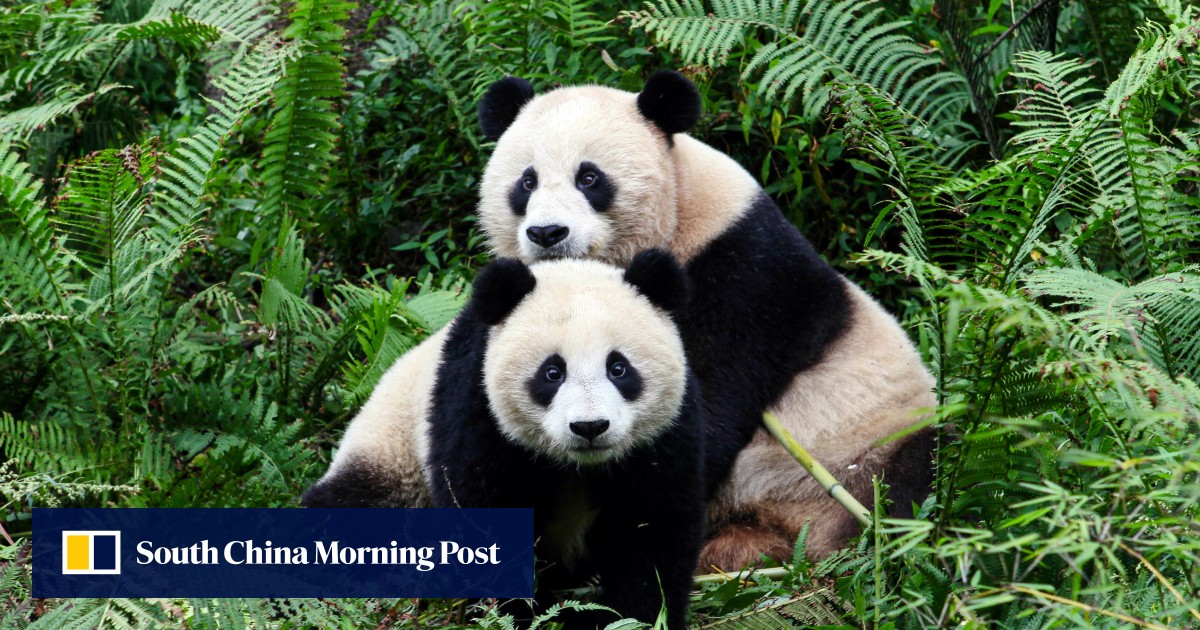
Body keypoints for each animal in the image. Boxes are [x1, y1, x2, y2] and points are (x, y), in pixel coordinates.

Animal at [428, 250, 704, 630]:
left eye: (618, 368)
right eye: (552, 372)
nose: (590, 427)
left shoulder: (664, 438)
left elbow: (654, 529)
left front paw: (634, 617)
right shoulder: (478, 417)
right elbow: (484, 524)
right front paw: (517, 614)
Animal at [474, 70, 937, 569]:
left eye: (590, 178)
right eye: (527, 182)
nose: (547, 233)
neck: (680, 221)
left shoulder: (742, 280)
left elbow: (703, 404)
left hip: (874, 439)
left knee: (919, 478)